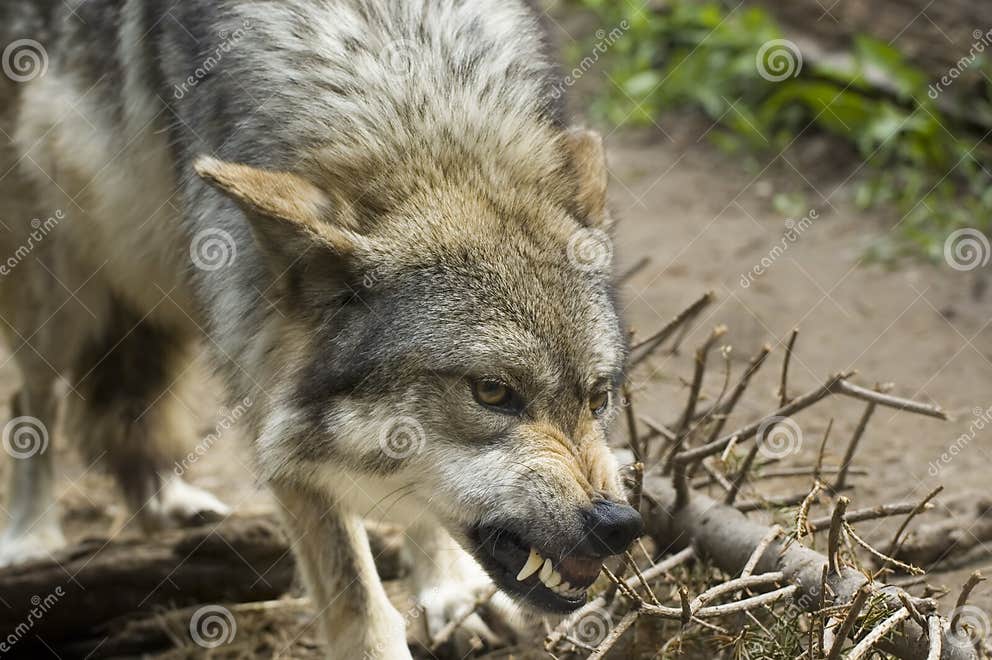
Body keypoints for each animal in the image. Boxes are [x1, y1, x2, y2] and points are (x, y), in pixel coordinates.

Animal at [0, 0, 642, 656]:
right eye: (491, 392)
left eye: (598, 397)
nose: (618, 524)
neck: (414, 101)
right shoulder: (267, 384)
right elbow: (358, 603)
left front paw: (451, 592)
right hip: (55, 285)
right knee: (31, 401)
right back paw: (31, 538)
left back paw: (170, 504)